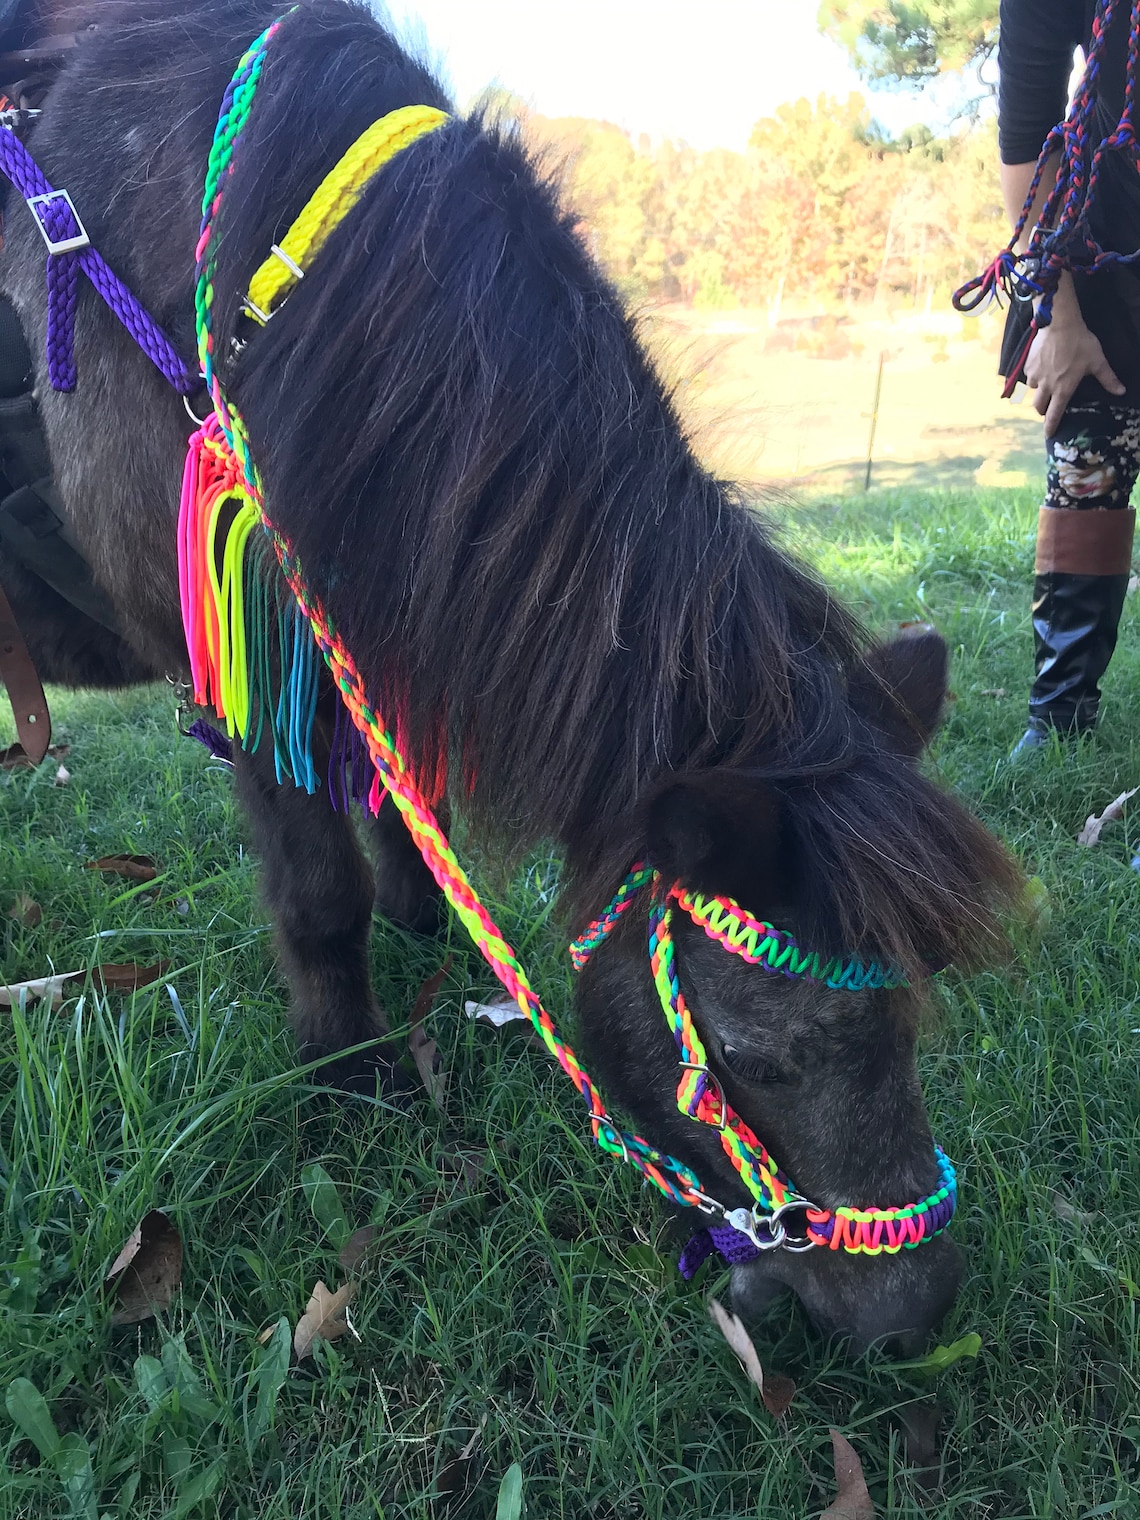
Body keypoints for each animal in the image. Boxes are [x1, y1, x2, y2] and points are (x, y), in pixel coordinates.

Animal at [0, 0, 1021, 1354]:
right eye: (754, 1054)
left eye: (912, 1002)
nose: (919, 1312)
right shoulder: (248, 669)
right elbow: (317, 892)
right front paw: (351, 1076)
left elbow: (395, 801)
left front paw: (420, 927)